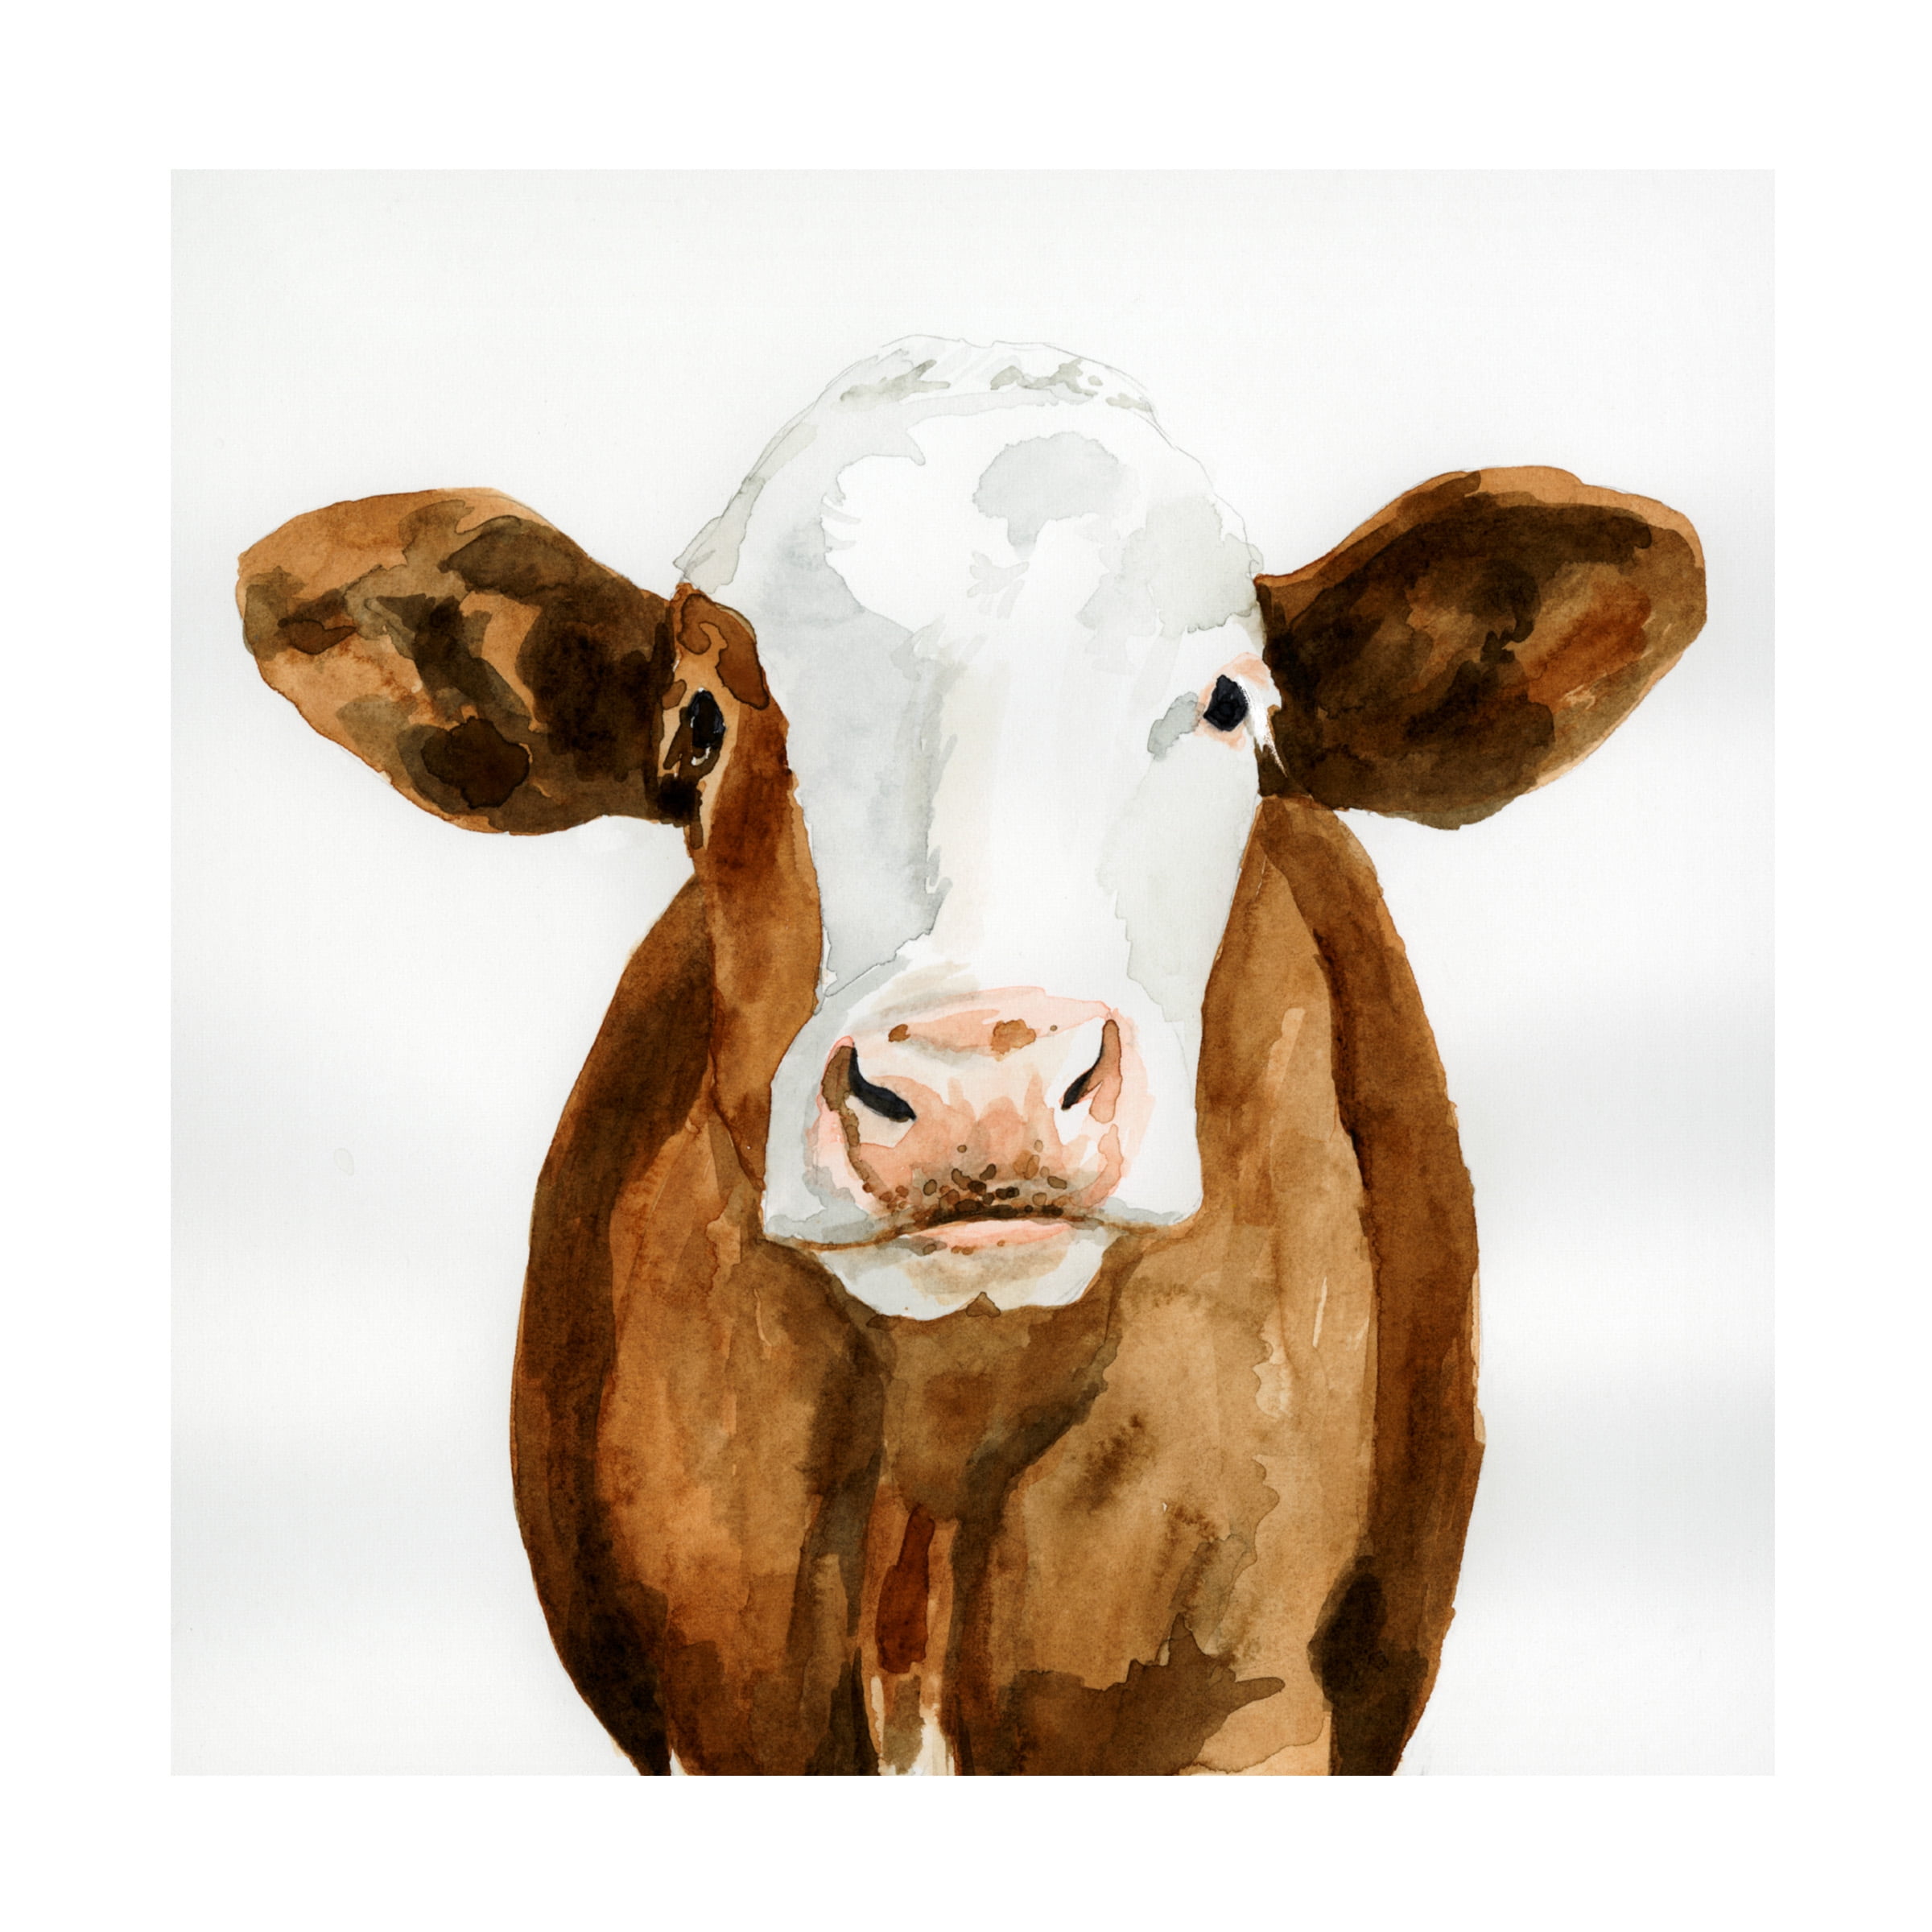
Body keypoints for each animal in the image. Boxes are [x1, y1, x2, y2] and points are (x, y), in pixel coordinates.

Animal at [236, 336, 1705, 1775]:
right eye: (700, 726)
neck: (941, 1435)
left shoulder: (1243, 1702)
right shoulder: (726, 1712)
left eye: (1229, 703)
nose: (978, 1081)